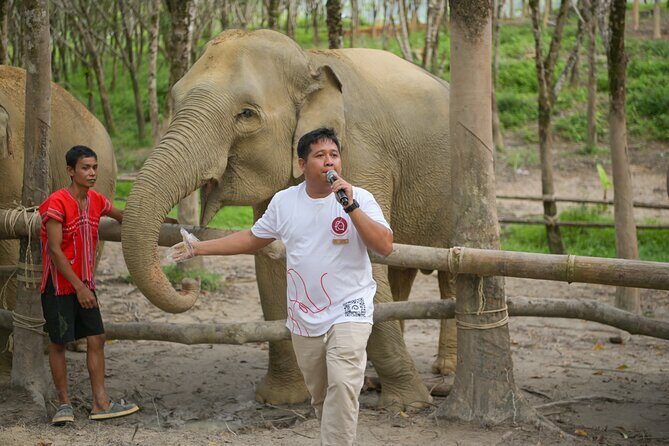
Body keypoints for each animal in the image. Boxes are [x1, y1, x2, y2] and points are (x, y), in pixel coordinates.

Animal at [121, 29, 455, 409]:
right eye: (174, 100)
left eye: (246, 114)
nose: (189, 284)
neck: (310, 61)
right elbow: (268, 263)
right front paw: (282, 399)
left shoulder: (362, 153)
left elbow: (371, 260)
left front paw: (409, 404)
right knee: (404, 269)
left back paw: (442, 372)